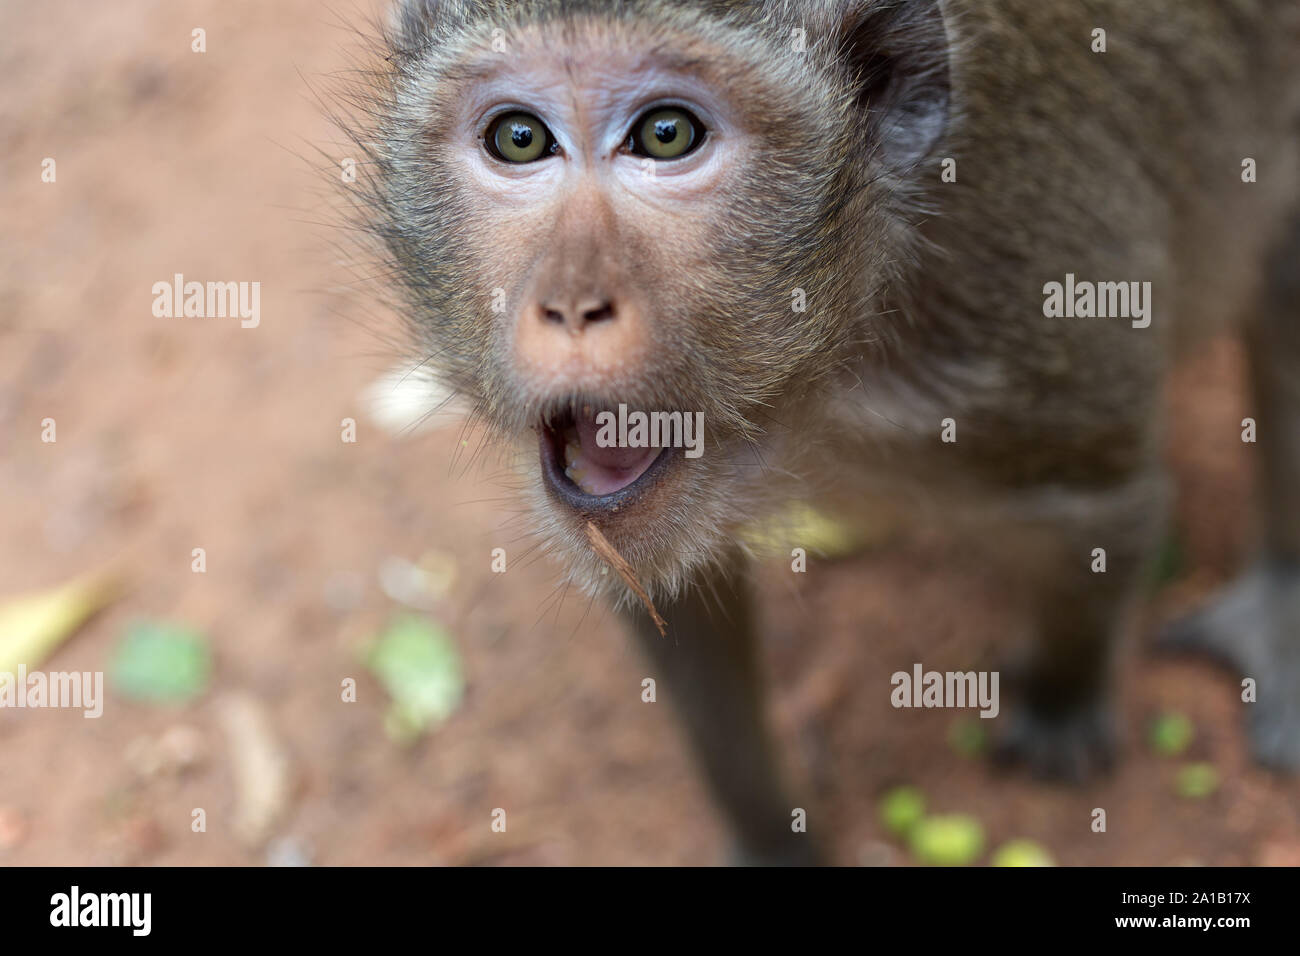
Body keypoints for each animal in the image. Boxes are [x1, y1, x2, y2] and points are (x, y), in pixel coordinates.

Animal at [340, 0, 1300, 864]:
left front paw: (1061, 703)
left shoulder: (1028, 303)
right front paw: (771, 837)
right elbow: (676, 596)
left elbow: (1104, 511)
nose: (571, 304)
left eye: (665, 135)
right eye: (519, 140)